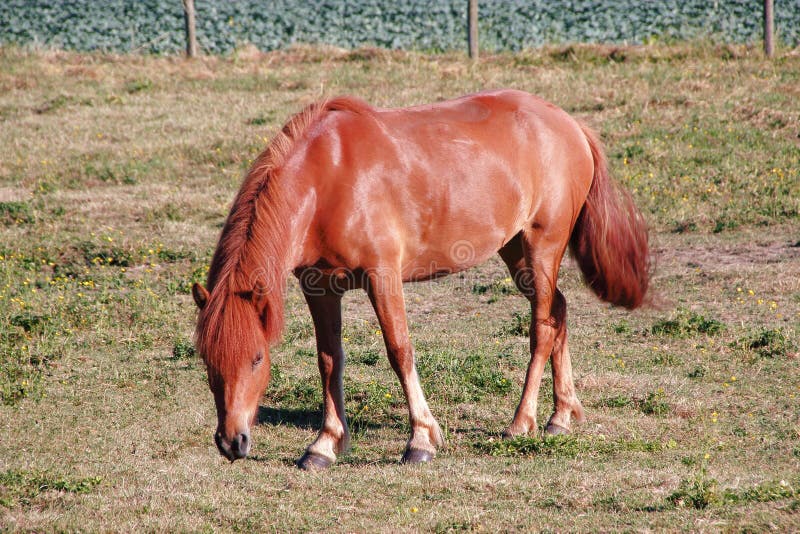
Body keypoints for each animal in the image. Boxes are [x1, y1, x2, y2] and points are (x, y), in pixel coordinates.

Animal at [192, 89, 649, 469]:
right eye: (207, 359)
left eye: (257, 358)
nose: (231, 441)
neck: (326, 180)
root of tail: (570, 125)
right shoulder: (318, 286)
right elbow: (328, 359)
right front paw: (325, 444)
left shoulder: (382, 277)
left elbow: (399, 351)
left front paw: (421, 441)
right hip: (514, 249)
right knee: (558, 310)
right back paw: (561, 416)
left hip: (542, 246)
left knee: (542, 327)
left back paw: (522, 422)